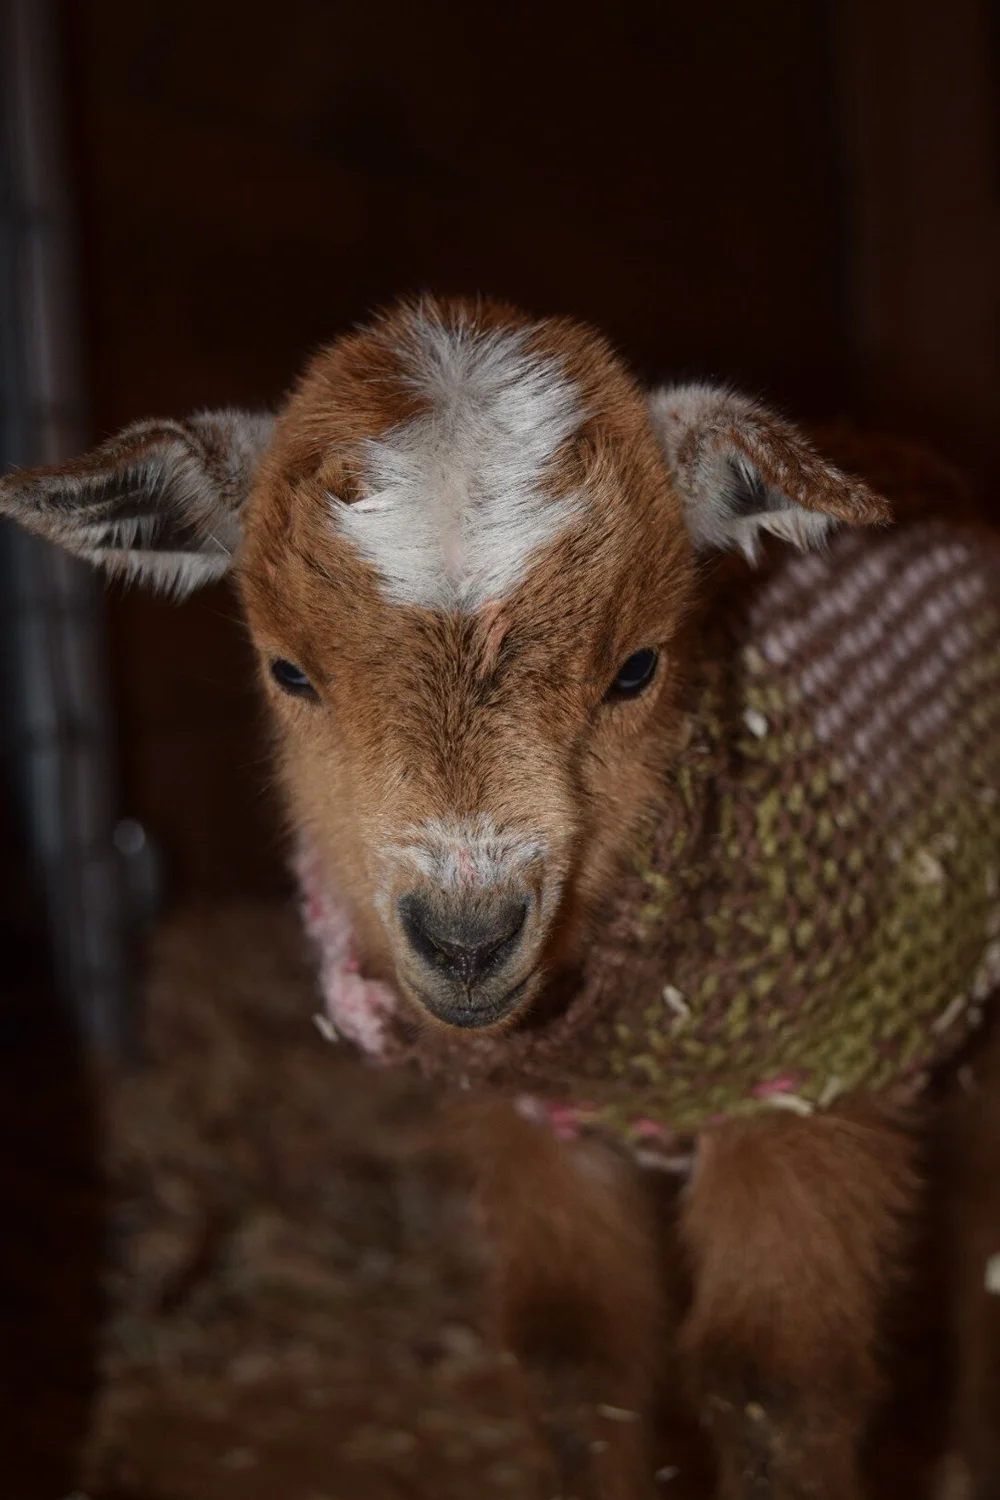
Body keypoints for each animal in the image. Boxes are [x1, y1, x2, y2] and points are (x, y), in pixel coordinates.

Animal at [3, 295, 999, 1498]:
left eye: (638, 667)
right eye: (291, 673)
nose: (467, 940)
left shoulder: (811, 1095)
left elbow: (773, 1397)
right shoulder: (534, 1128)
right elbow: (581, 1369)